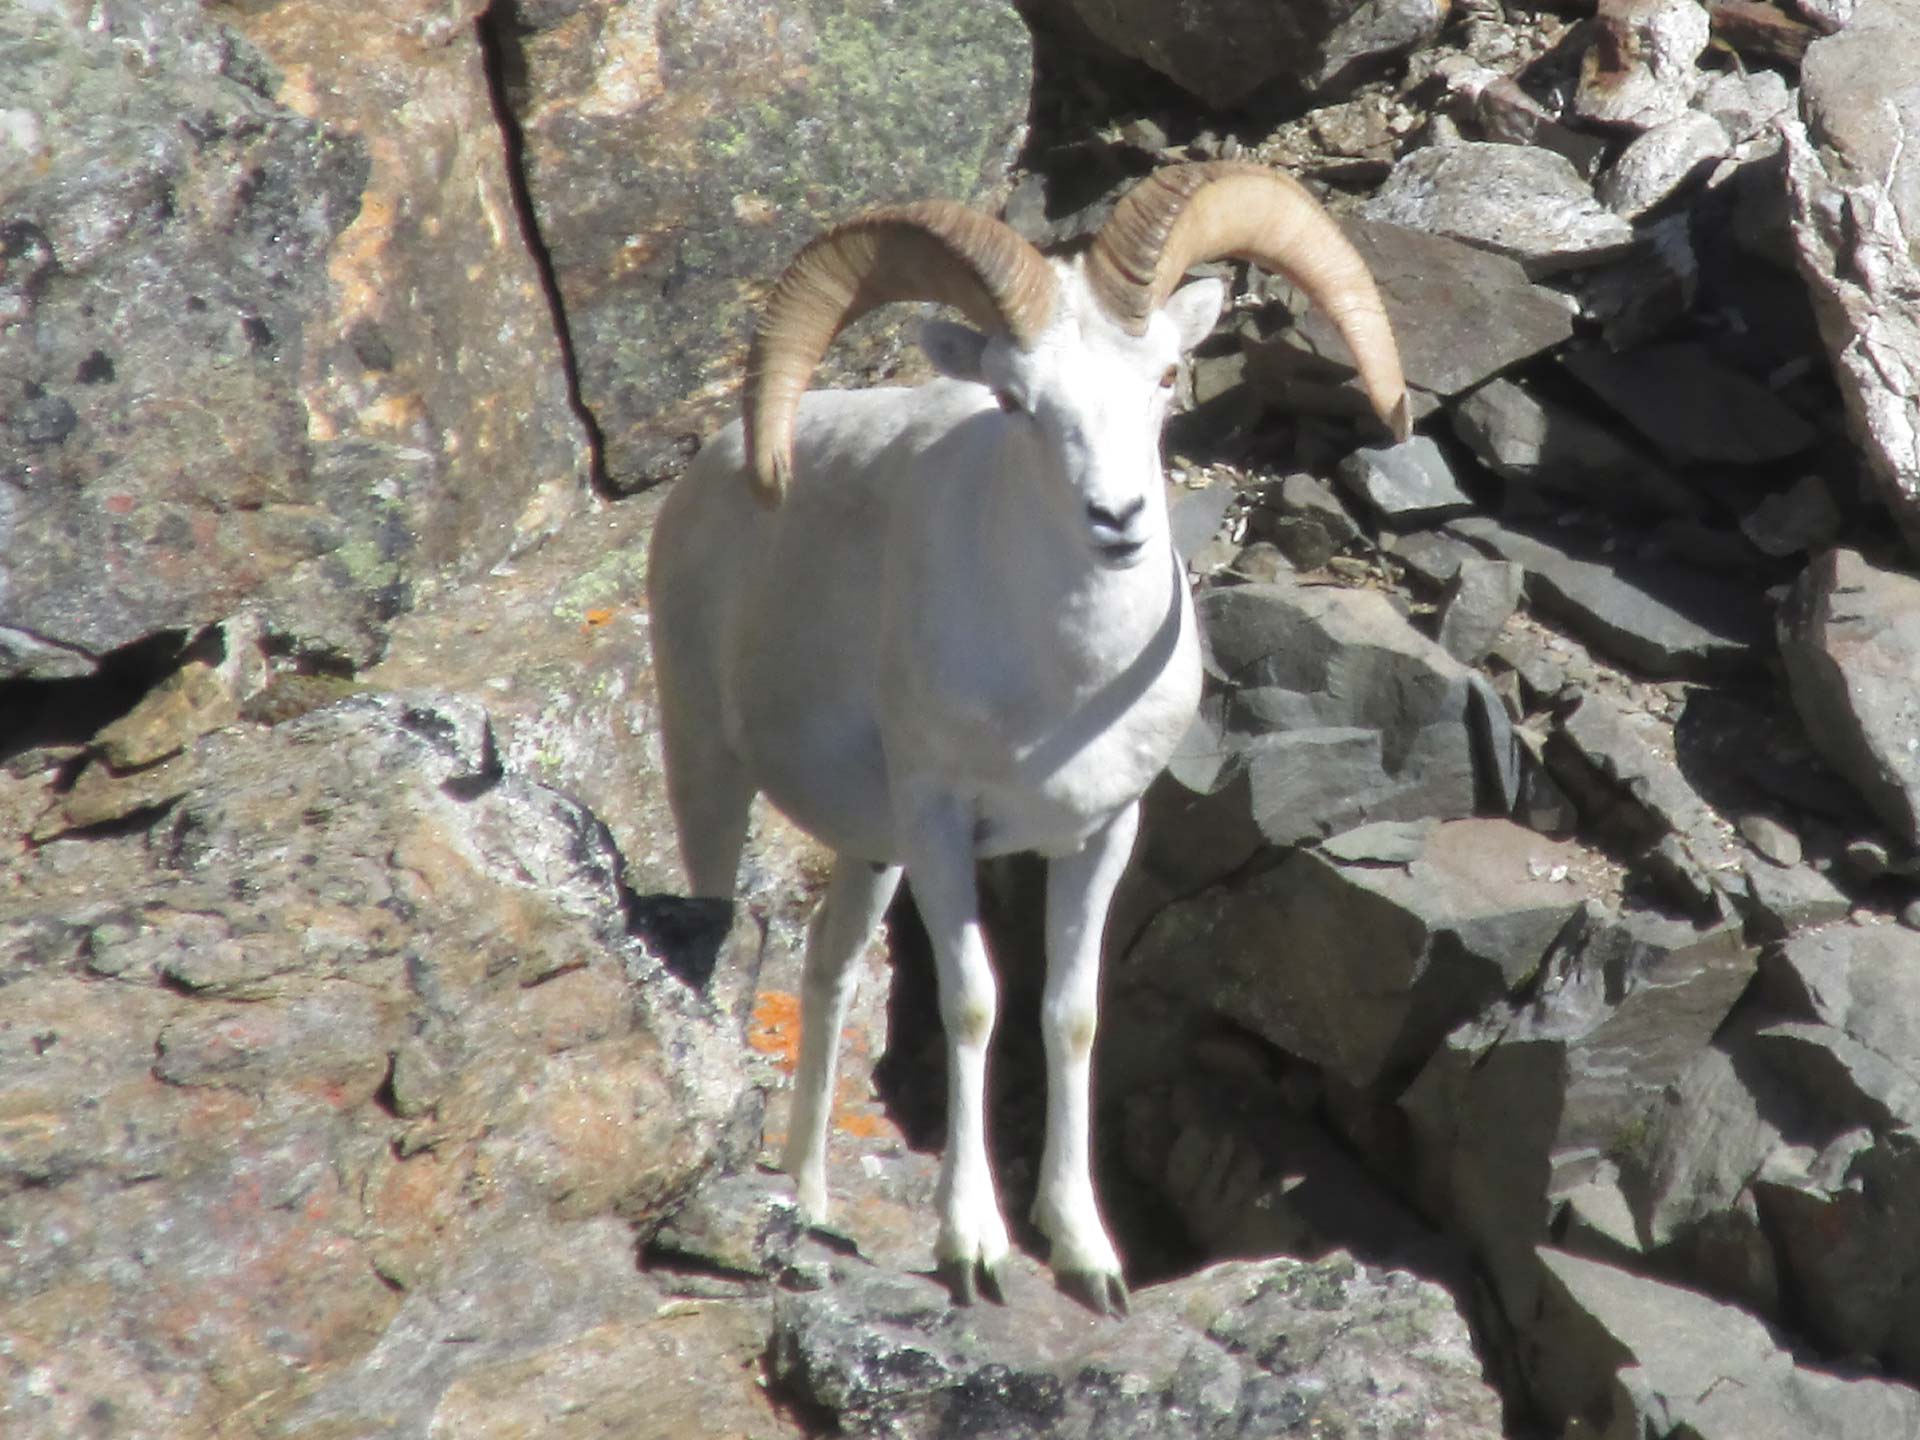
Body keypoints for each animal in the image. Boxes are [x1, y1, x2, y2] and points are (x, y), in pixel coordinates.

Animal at [646, 162, 1409, 1315]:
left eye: (1167, 376)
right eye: (1017, 401)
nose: (1119, 519)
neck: (1064, 685)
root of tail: (714, 472)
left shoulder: (1097, 835)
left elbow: (1069, 1013)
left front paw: (1086, 1254)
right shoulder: (945, 831)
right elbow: (973, 1006)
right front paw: (973, 1250)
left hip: (871, 850)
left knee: (828, 972)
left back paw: (811, 1208)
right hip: (712, 781)